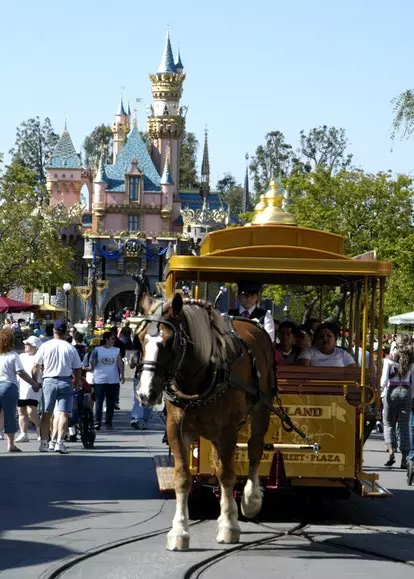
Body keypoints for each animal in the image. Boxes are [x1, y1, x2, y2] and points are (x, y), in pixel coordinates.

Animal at [137, 294, 276, 552]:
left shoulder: (228, 431)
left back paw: (250, 500)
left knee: (254, 450)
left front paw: (230, 527)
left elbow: (227, 475)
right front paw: (179, 532)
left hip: (261, 409)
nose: (145, 393)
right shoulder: (177, 430)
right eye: (140, 338)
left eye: (169, 341)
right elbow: (183, 478)